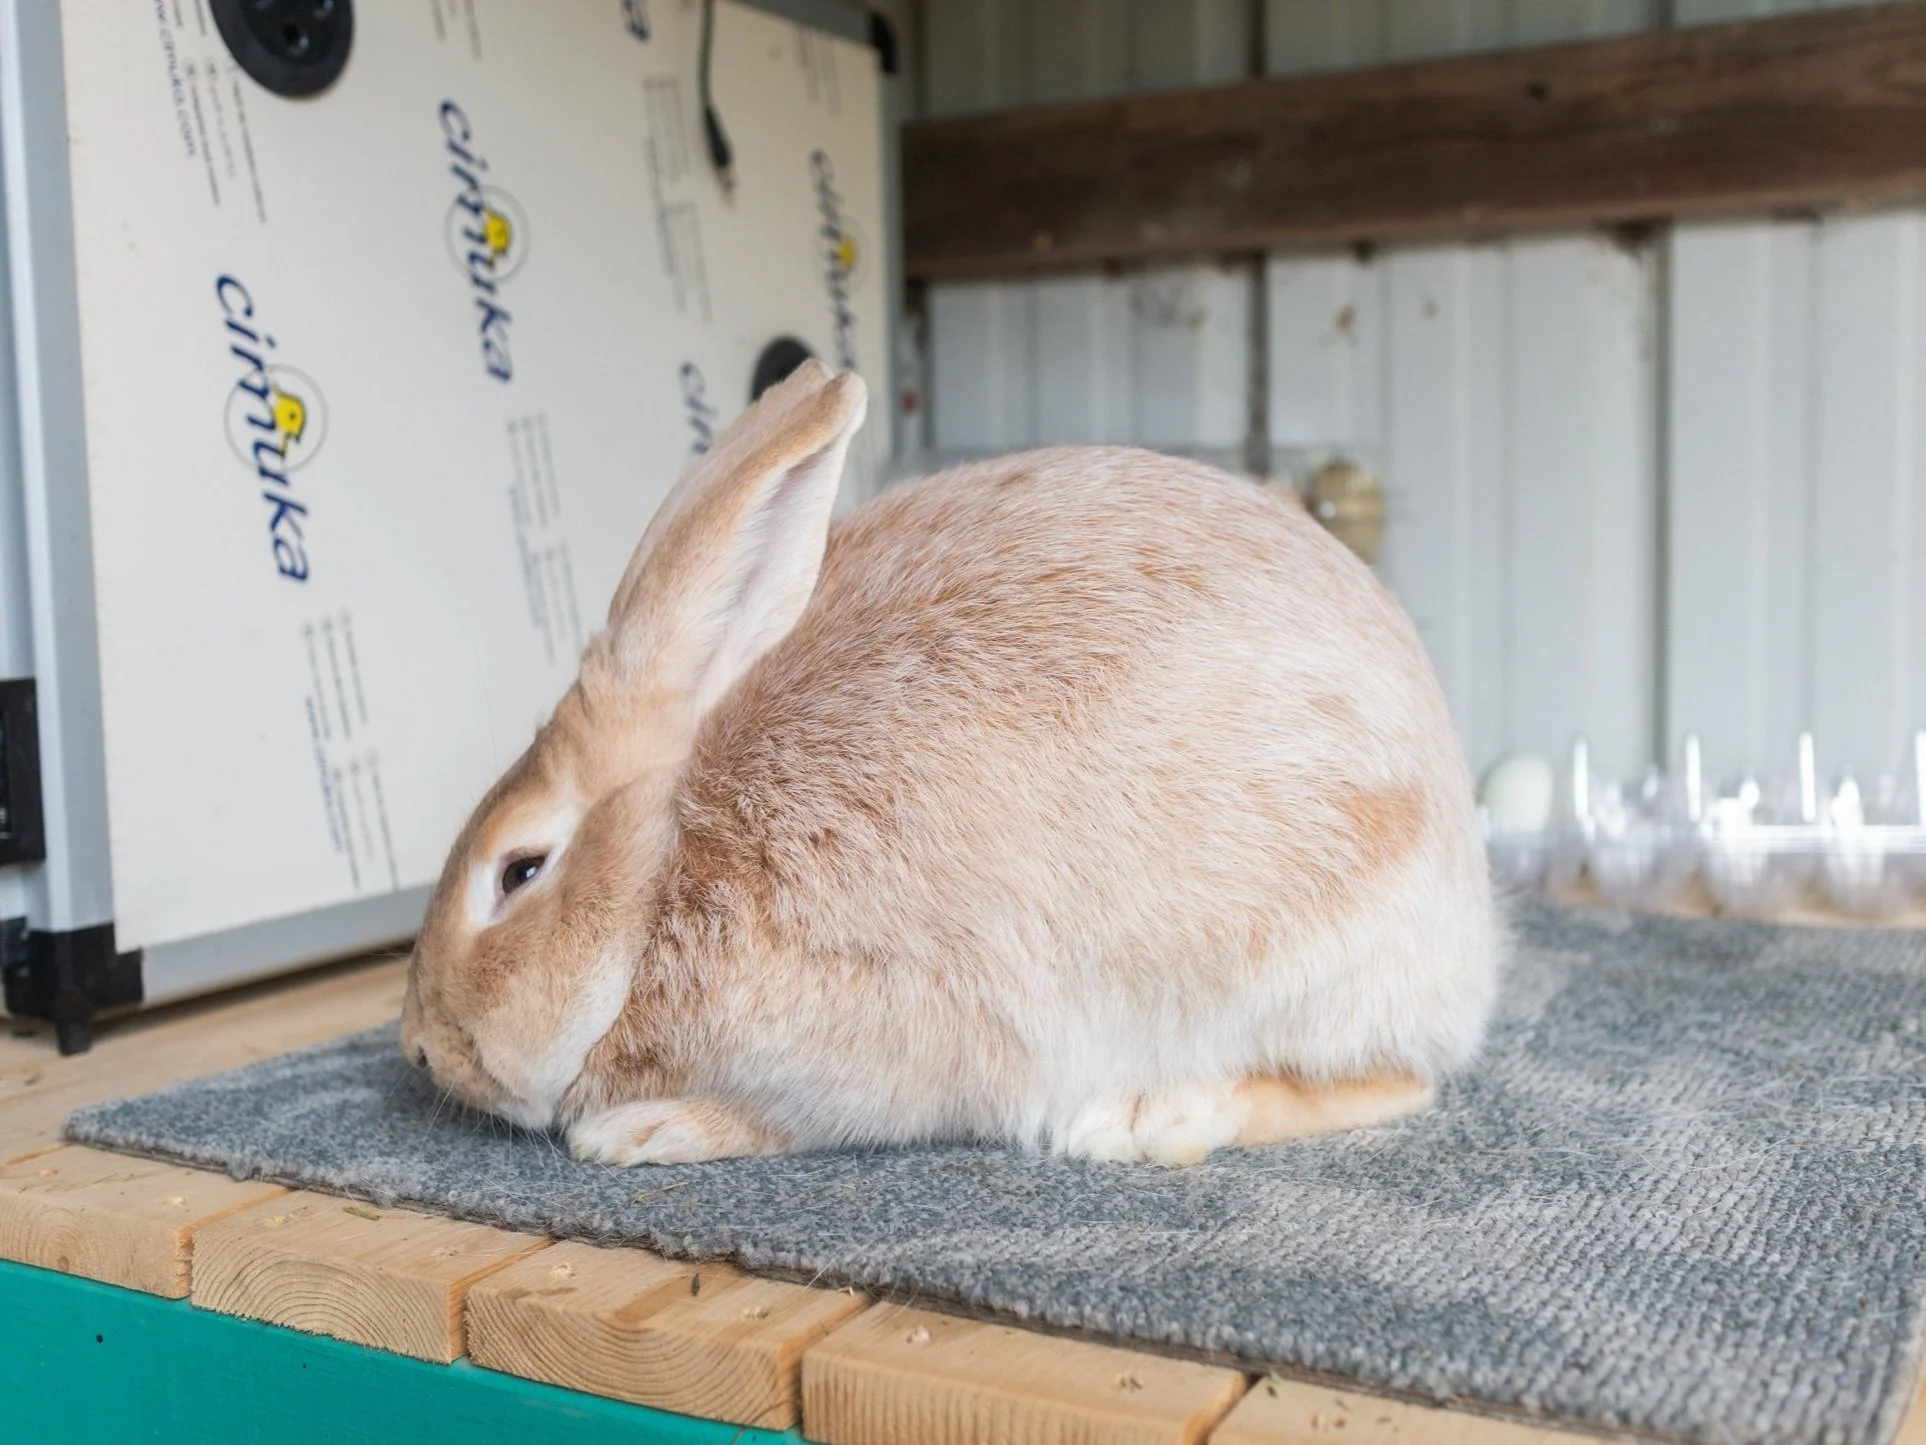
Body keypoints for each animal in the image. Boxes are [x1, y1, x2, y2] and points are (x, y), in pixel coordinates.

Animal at [400, 360, 1501, 1167]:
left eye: (520, 870)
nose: (418, 1043)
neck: (669, 863)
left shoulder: (873, 1043)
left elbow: (780, 1119)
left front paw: (641, 1131)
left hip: (1302, 958)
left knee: (1391, 1080)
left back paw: (1145, 1118)